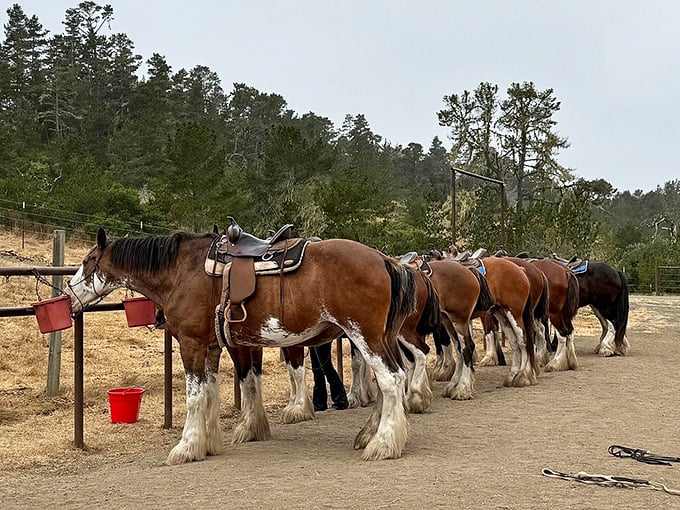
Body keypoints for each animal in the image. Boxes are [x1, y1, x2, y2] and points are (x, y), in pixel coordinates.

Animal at [65, 227, 419, 462]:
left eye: (88, 260)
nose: (68, 294)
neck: (182, 272)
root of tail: (384, 259)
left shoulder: (192, 344)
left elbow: (195, 397)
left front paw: (186, 446)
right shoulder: (212, 347)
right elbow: (213, 393)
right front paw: (208, 443)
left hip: (365, 336)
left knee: (391, 380)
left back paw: (383, 443)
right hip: (380, 338)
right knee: (391, 379)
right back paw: (372, 434)